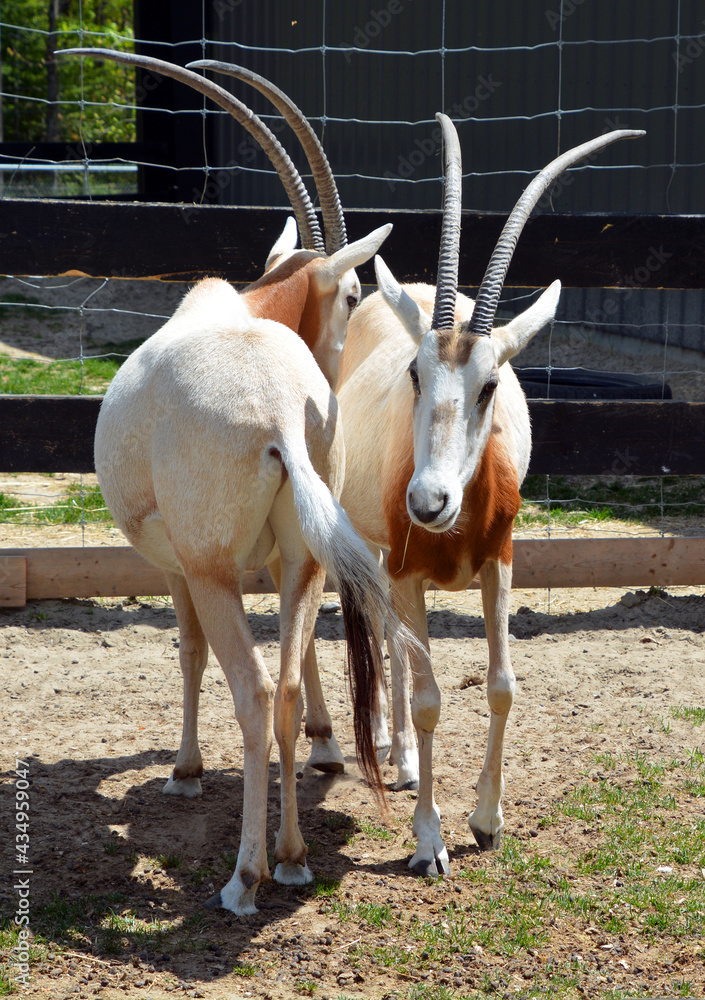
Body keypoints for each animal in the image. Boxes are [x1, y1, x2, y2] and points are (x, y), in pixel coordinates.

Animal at [63, 47, 397, 914]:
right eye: (353, 294)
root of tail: (278, 408)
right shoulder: (278, 561)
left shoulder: (181, 565)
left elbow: (186, 651)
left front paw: (182, 771)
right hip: (305, 562)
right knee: (282, 690)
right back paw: (292, 856)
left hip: (214, 567)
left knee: (251, 691)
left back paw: (244, 877)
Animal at [333, 117, 644, 875]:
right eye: (416, 374)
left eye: (490, 385)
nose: (428, 503)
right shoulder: (407, 571)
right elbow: (428, 698)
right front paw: (428, 841)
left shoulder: (499, 564)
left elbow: (501, 685)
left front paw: (486, 822)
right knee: (378, 634)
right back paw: (385, 750)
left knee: (392, 640)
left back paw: (401, 760)